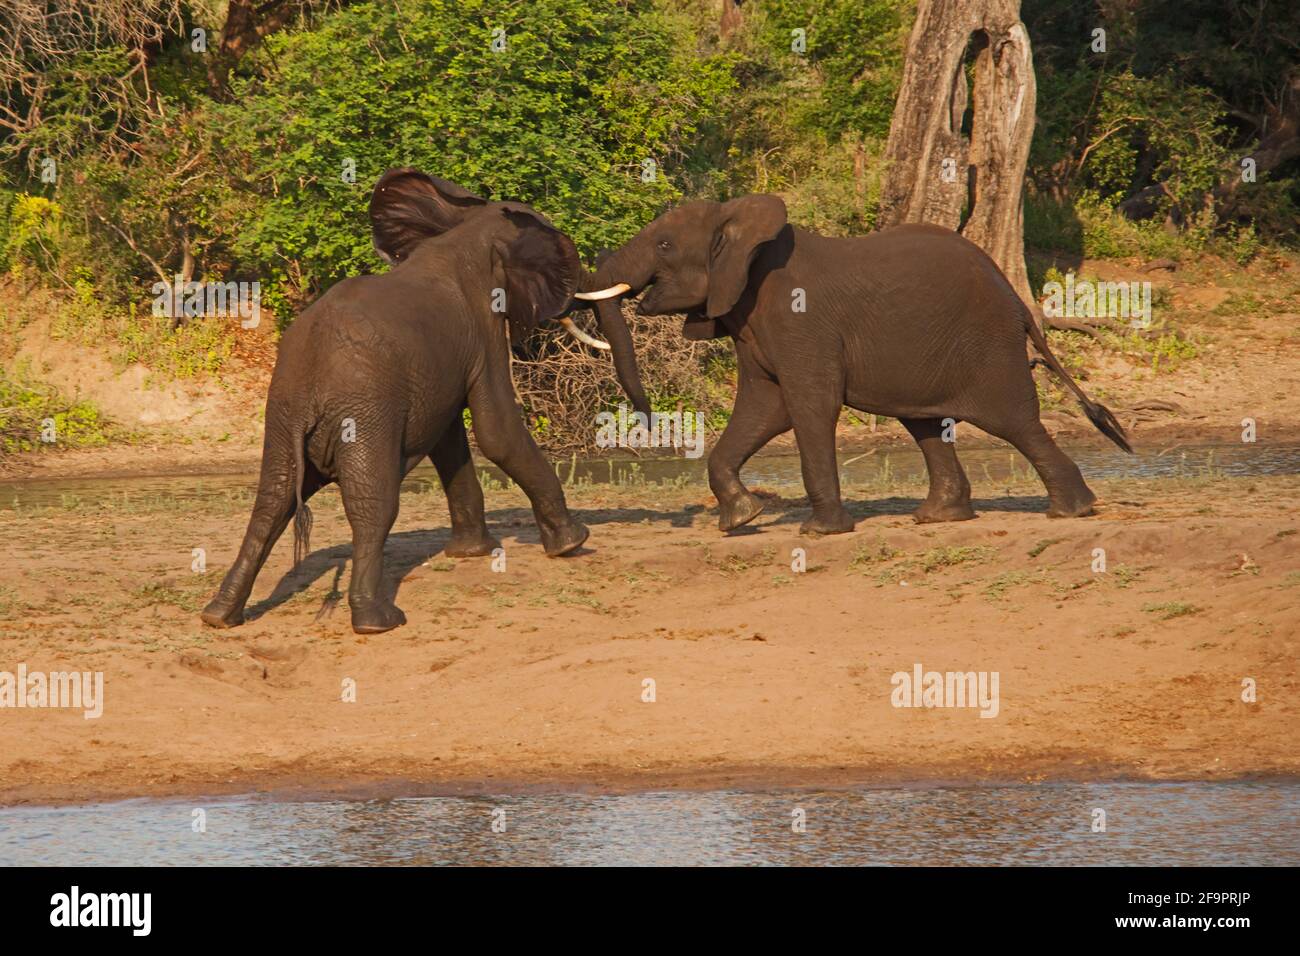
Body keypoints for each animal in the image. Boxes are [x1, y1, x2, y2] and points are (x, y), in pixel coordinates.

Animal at [201, 168, 637, 634]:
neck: (470, 229)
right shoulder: (485, 321)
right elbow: (496, 430)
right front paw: (573, 544)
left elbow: (450, 441)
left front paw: (471, 552)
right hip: (363, 409)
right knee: (372, 504)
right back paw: (378, 621)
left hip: (283, 411)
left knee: (273, 499)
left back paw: (219, 616)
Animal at [580, 196, 1132, 535]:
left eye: (664, 245)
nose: (647, 421)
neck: (737, 220)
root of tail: (1017, 298)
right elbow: (763, 408)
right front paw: (742, 519)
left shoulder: (799, 320)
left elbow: (808, 406)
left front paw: (818, 532)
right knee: (926, 425)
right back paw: (938, 518)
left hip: (988, 344)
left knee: (1015, 421)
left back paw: (1072, 511)